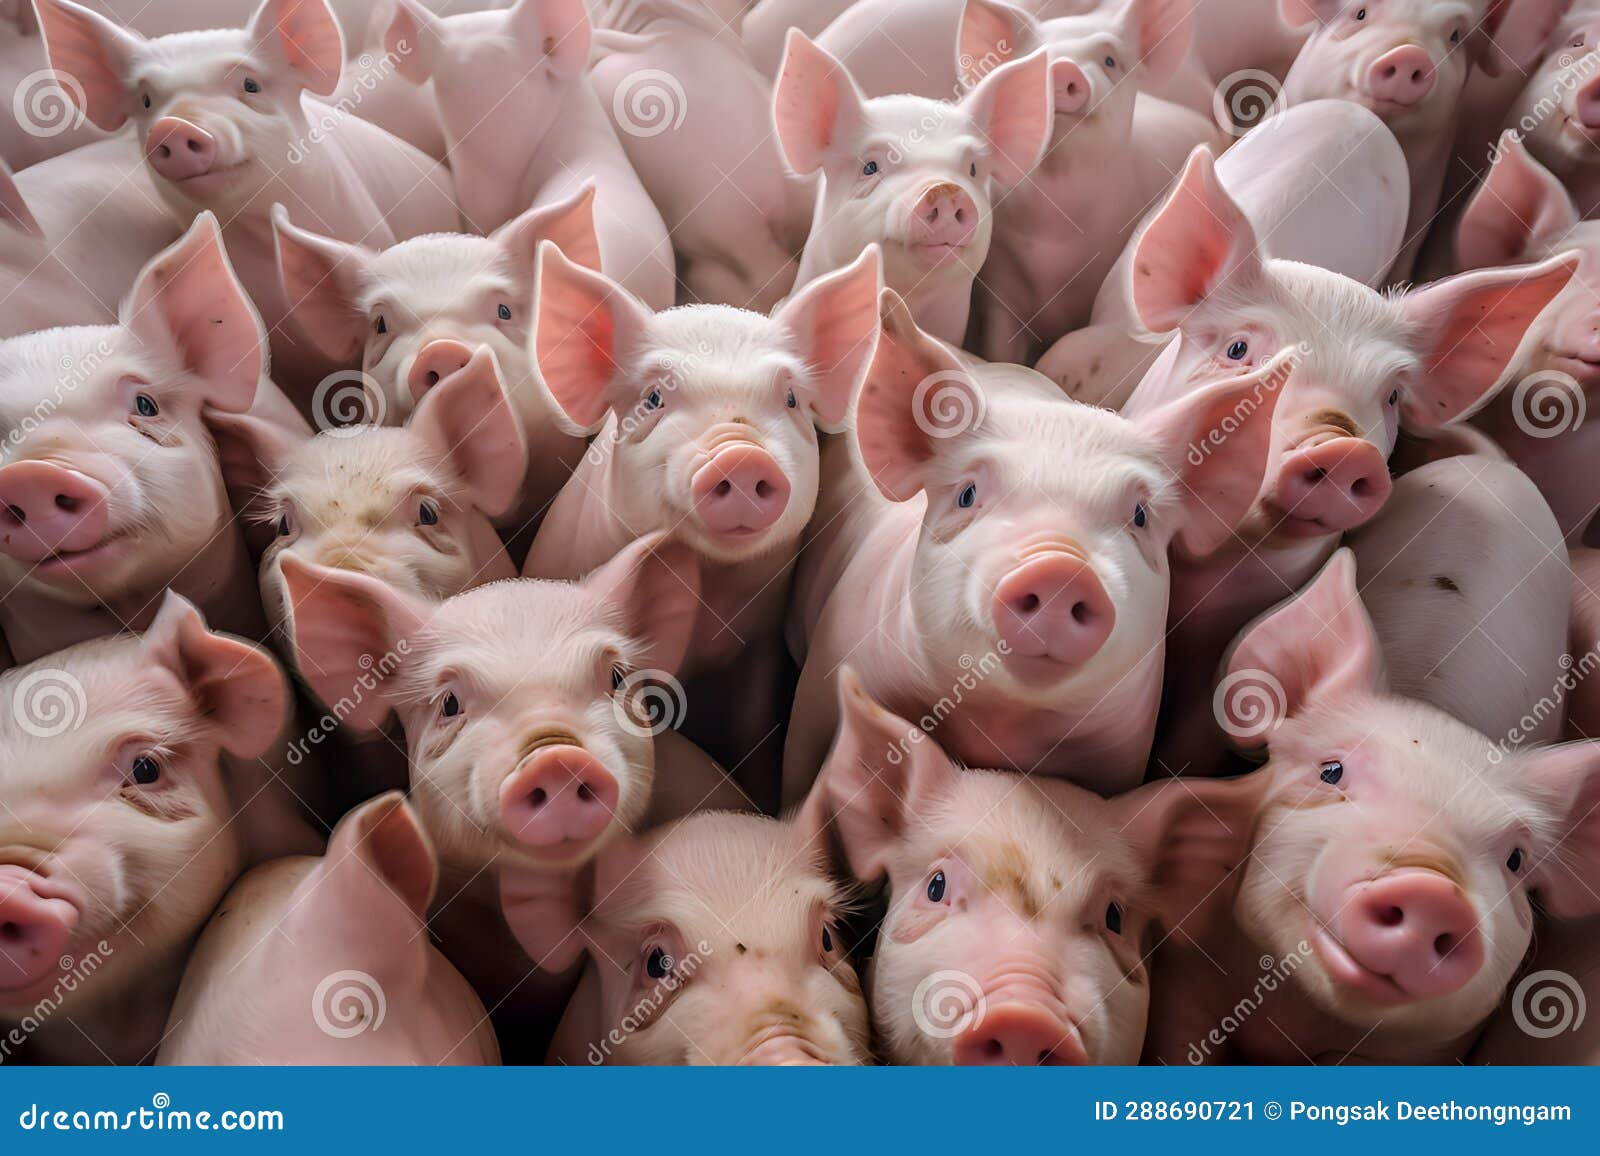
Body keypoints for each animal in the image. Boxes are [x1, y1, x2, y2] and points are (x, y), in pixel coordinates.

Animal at [782, 287, 1288, 806]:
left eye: (1141, 516)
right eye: (967, 495)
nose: (1059, 565)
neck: (1001, 728)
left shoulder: (1119, 759)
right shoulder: (821, 686)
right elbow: (798, 773)